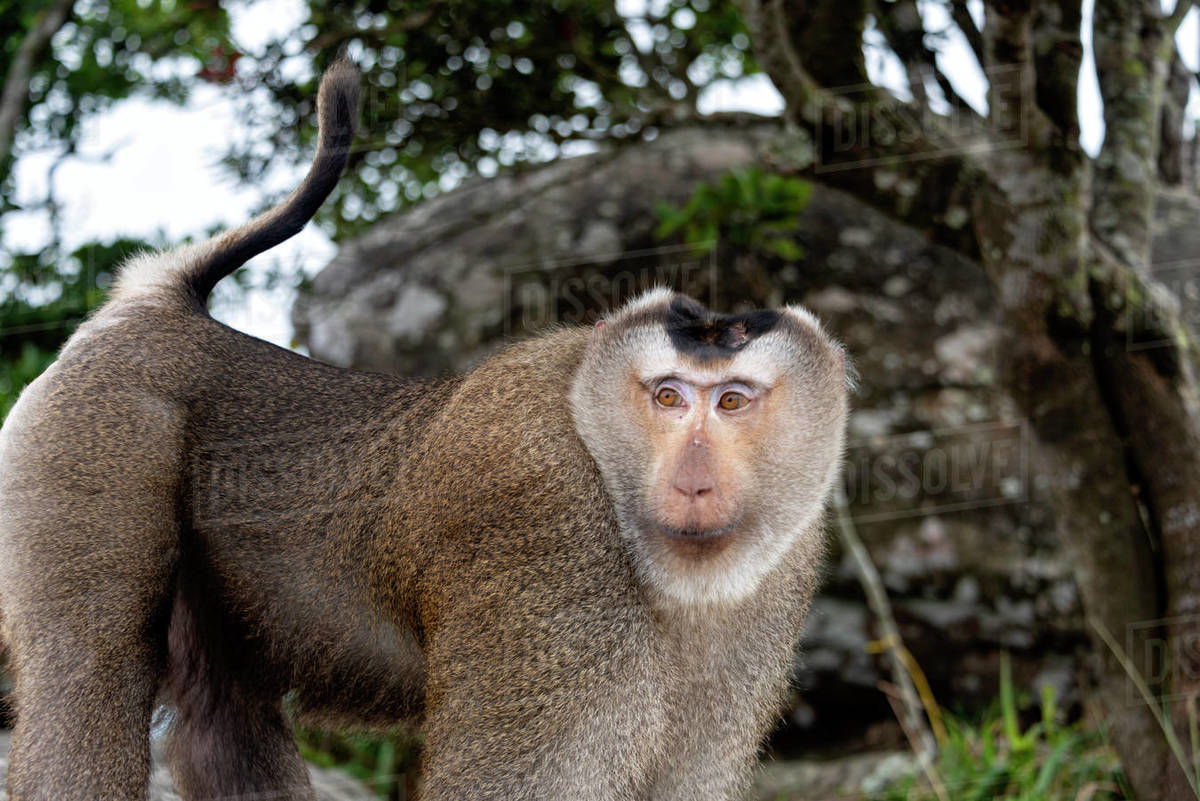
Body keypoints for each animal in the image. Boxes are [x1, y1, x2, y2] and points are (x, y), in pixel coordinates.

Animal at [0, 60, 850, 801]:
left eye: (733, 401)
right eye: (670, 396)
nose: (694, 477)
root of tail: (159, 308)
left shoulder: (776, 579)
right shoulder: (547, 543)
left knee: (221, 710)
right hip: (93, 433)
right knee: (91, 669)